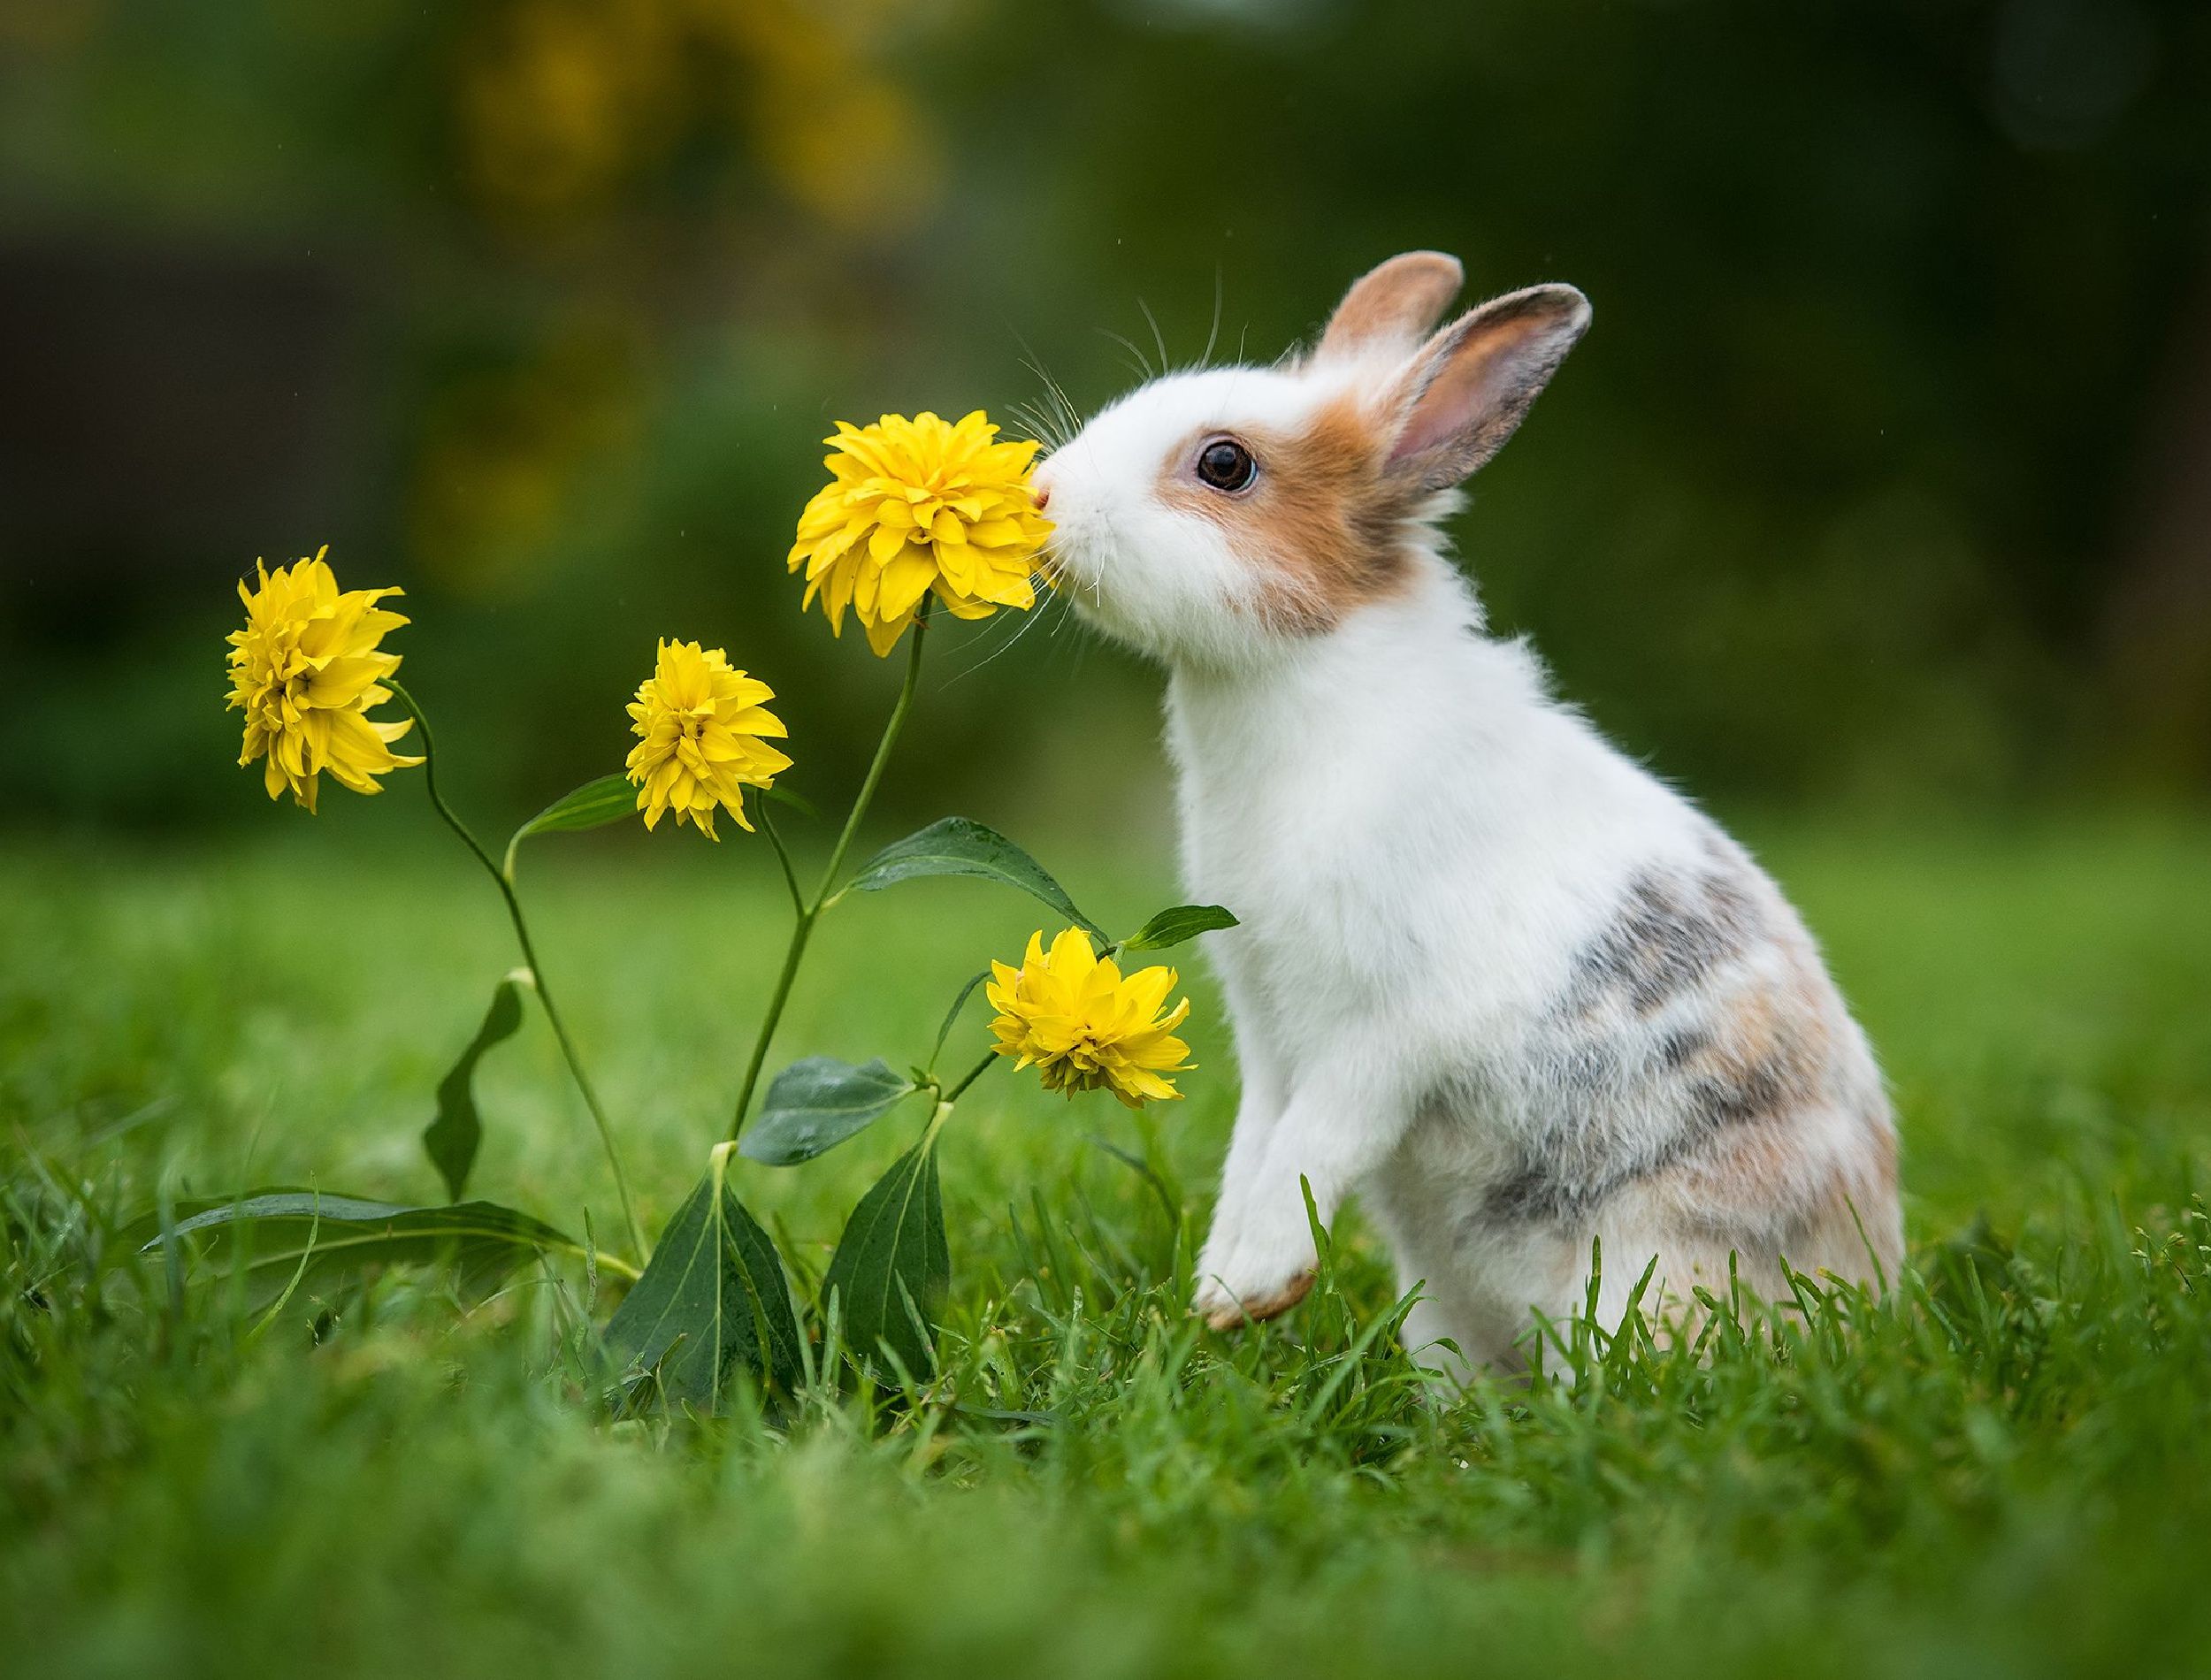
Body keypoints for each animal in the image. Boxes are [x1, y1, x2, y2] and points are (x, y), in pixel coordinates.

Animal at [1030, 251, 1902, 1376]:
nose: (1041, 494)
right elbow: (1256, 1144)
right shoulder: (1267, 1028)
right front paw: (1222, 1289)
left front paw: (1246, 1287)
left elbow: (1313, 1143)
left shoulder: (1383, 1030)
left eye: (1224, 464)